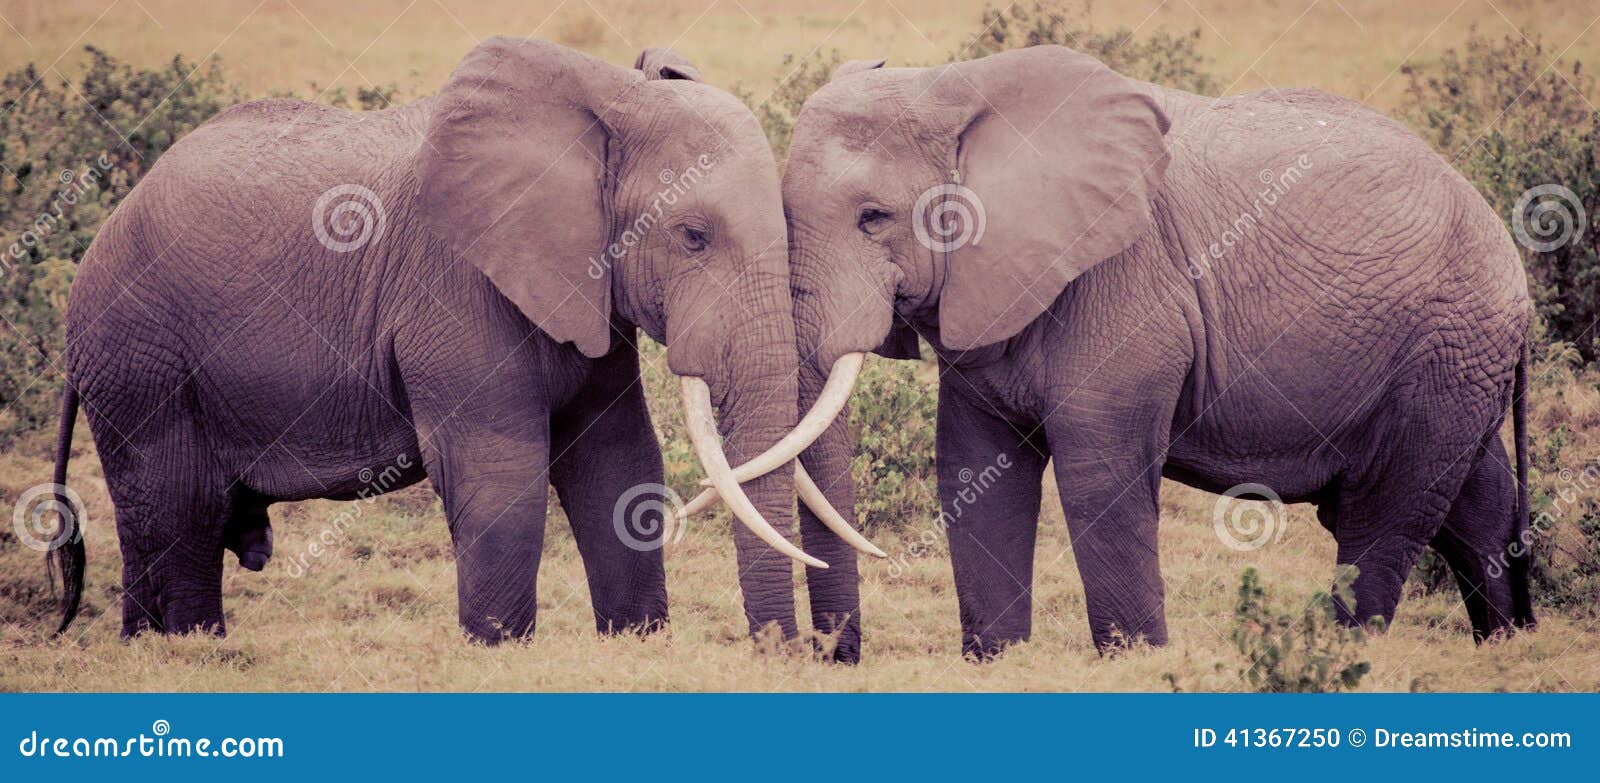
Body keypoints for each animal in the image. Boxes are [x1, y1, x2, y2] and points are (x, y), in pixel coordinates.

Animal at [45, 38, 875, 645]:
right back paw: (191, 647)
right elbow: (500, 469)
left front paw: (637, 641)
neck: (604, 98)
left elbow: (617, 460)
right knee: (178, 503)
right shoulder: (455, 284)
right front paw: (501, 650)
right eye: (692, 237)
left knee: (159, 515)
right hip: (139, 352)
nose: (795, 651)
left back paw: (150, 645)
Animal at [696, 45, 1537, 658]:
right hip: (1458, 359)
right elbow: (974, 464)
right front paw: (997, 661)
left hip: (1449, 342)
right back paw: (1507, 643)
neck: (959, 83)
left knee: (1384, 511)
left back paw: (1339, 653)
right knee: (1475, 496)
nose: (830, 654)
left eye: (873, 218)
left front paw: (1135, 658)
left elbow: (1099, 469)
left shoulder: (1125, 281)